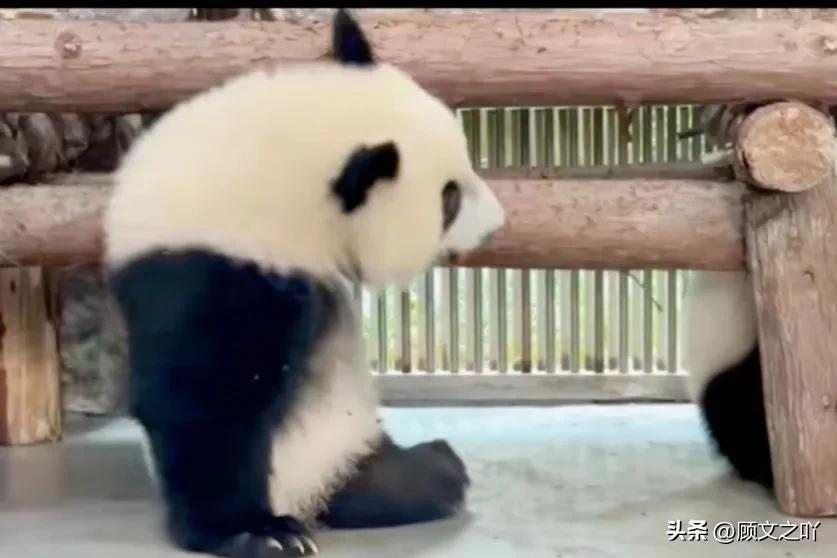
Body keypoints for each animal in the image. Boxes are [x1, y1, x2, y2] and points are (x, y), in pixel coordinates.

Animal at [104, 9, 505, 558]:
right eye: (448, 199)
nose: (498, 225)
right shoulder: (215, 270)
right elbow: (209, 399)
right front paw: (255, 532)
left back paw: (435, 462)